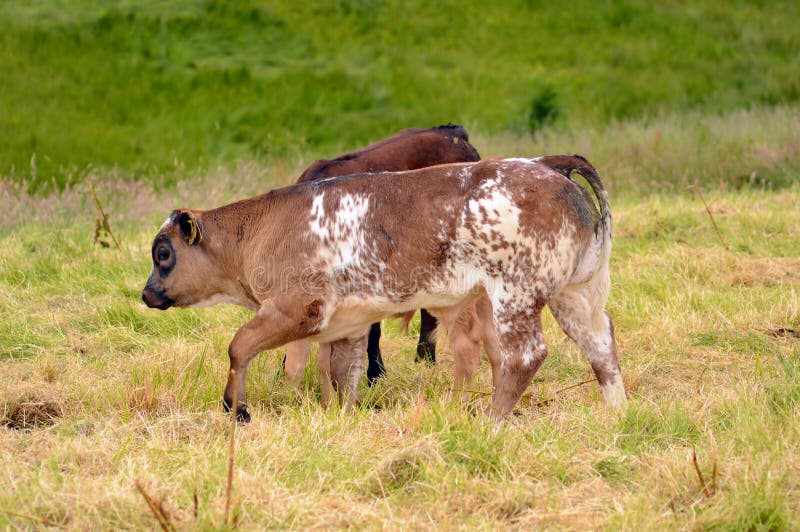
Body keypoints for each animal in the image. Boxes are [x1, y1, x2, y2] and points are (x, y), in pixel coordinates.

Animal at [142, 156, 627, 421]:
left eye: (162, 253)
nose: (146, 294)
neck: (266, 227)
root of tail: (549, 169)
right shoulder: (349, 322)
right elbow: (343, 373)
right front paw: (339, 415)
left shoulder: (295, 307)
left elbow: (239, 346)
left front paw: (236, 408)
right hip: (574, 293)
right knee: (600, 342)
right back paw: (617, 411)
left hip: (515, 295)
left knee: (523, 356)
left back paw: (490, 420)